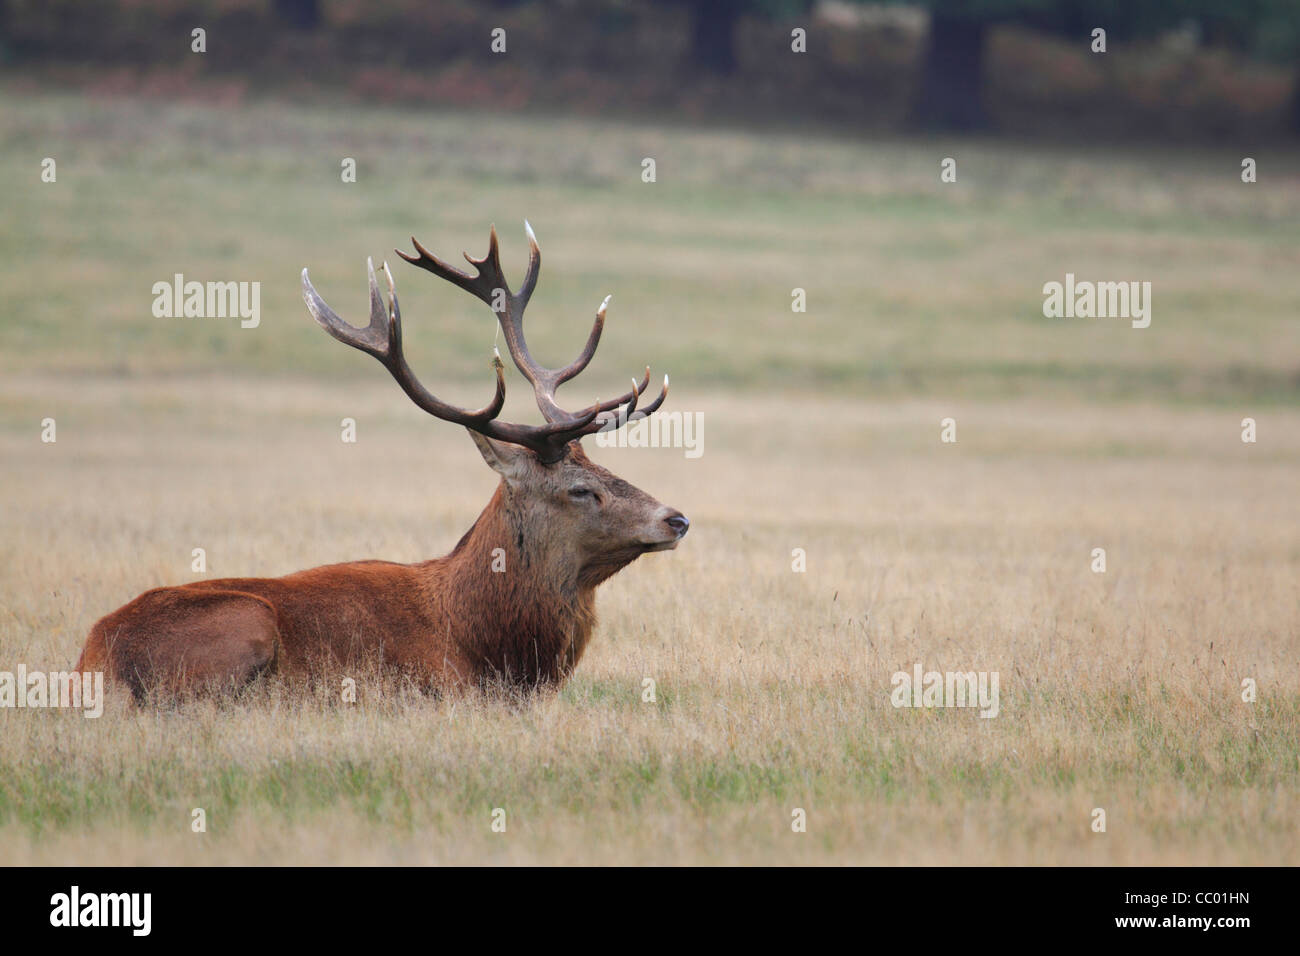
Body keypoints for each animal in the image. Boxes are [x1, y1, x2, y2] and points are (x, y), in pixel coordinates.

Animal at [76, 223, 689, 700]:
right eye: (580, 489)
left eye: (612, 472)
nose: (677, 518)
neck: (484, 642)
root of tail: (93, 659)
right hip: (243, 622)